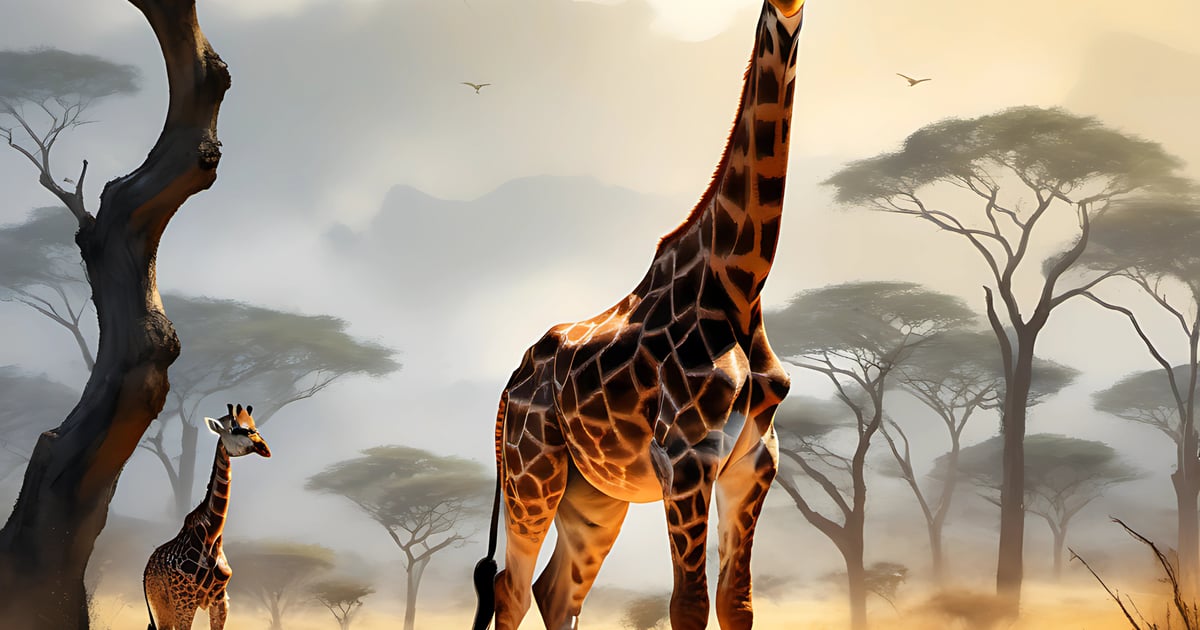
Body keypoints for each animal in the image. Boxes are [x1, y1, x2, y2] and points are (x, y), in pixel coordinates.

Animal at [143, 403, 271, 630]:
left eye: (254, 427)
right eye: (235, 429)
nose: (264, 448)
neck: (212, 533)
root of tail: (145, 572)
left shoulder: (221, 598)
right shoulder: (184, 601)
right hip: (161, 604)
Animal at [472, 1, 808, 628]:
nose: (791, 7)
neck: (739, 283)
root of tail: (510, 385)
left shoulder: (755, 463)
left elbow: (737, 601)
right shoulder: (686, 457)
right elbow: (689, 603)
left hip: (595, 496)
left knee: (556, 591)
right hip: (532, 476)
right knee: (510, 588)